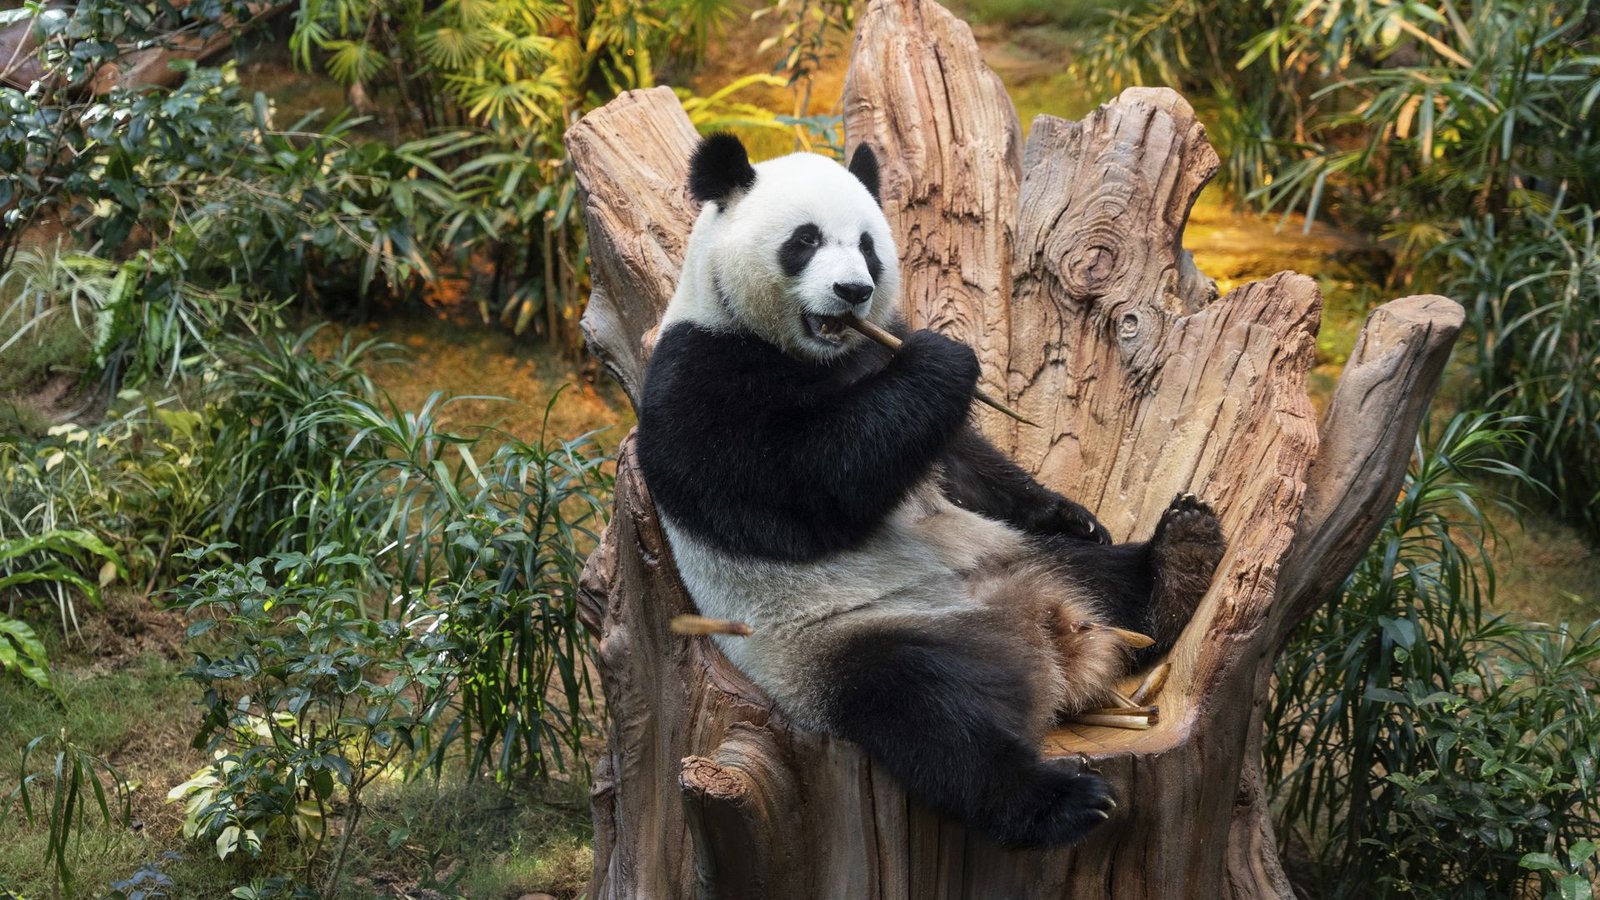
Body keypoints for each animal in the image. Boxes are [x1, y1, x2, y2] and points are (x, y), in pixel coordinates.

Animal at [636, 132, 1227, 849]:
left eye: (867, 244)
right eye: (804, 240)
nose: (853, 290)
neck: (816, 353)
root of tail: (1046, 647)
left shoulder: (876, 361)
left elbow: (961, 462)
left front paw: (1071, 512)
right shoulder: (699, 373)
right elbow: (796, 491)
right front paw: (944, 359)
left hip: (1023, 559)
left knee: (1106, 576)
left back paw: (1181, 555)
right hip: (846, 649)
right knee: (936, 722)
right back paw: (1059, 801)